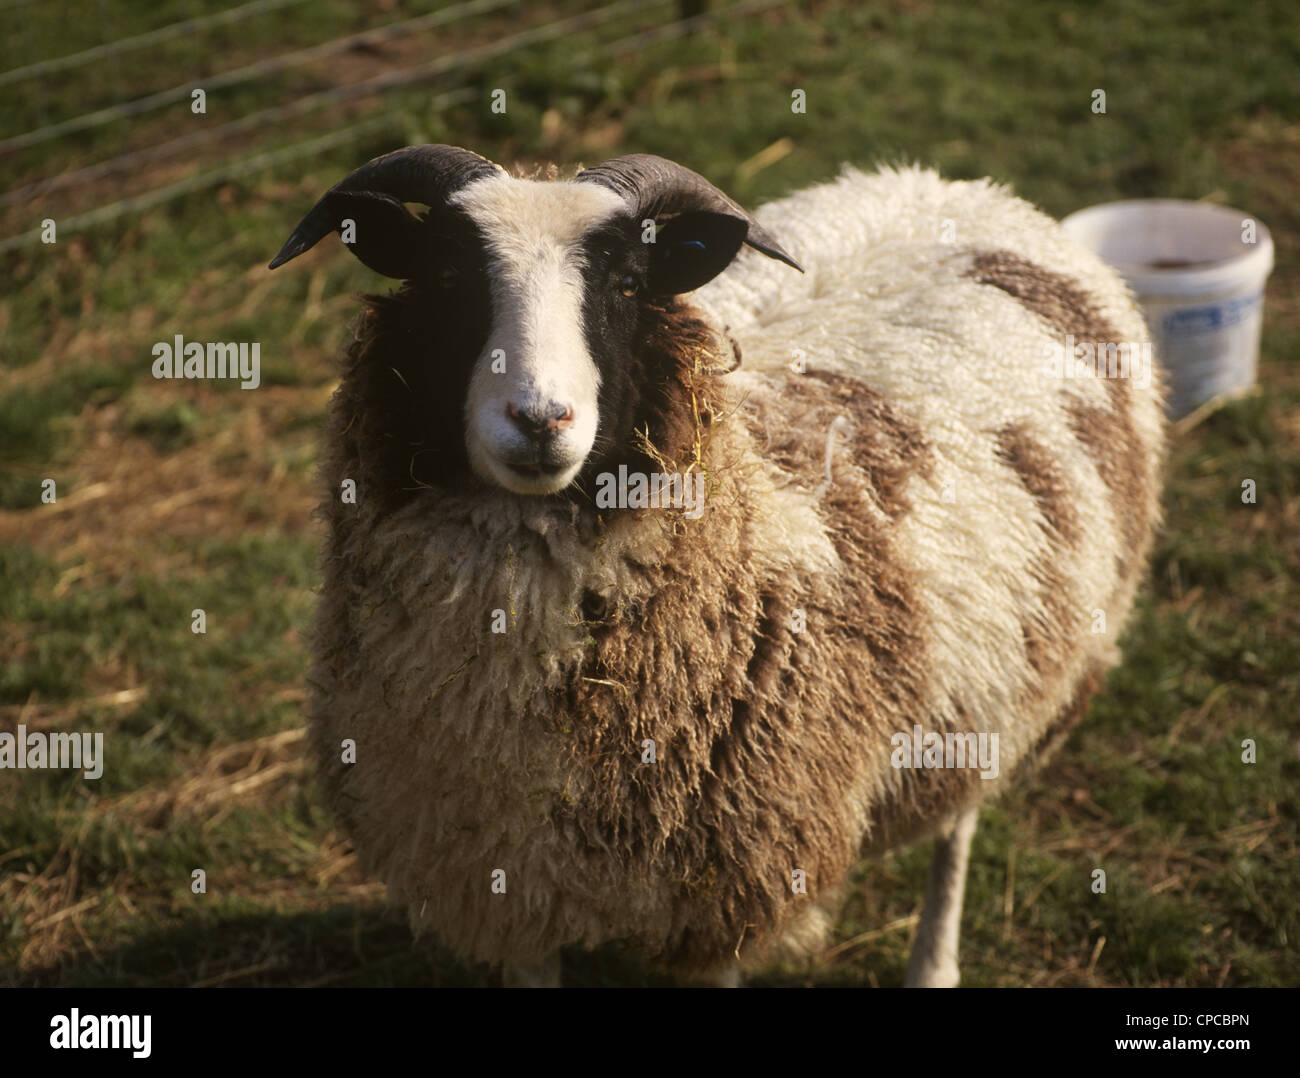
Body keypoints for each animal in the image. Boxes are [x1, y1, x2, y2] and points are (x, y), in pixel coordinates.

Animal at [269, 145, 1165, 987]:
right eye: (448, 275)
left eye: (629, 284)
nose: (540, 419)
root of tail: (961, 187)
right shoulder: (501, 884)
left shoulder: (727, 887)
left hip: (1005, 683)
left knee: (959, 823)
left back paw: (933, 964)